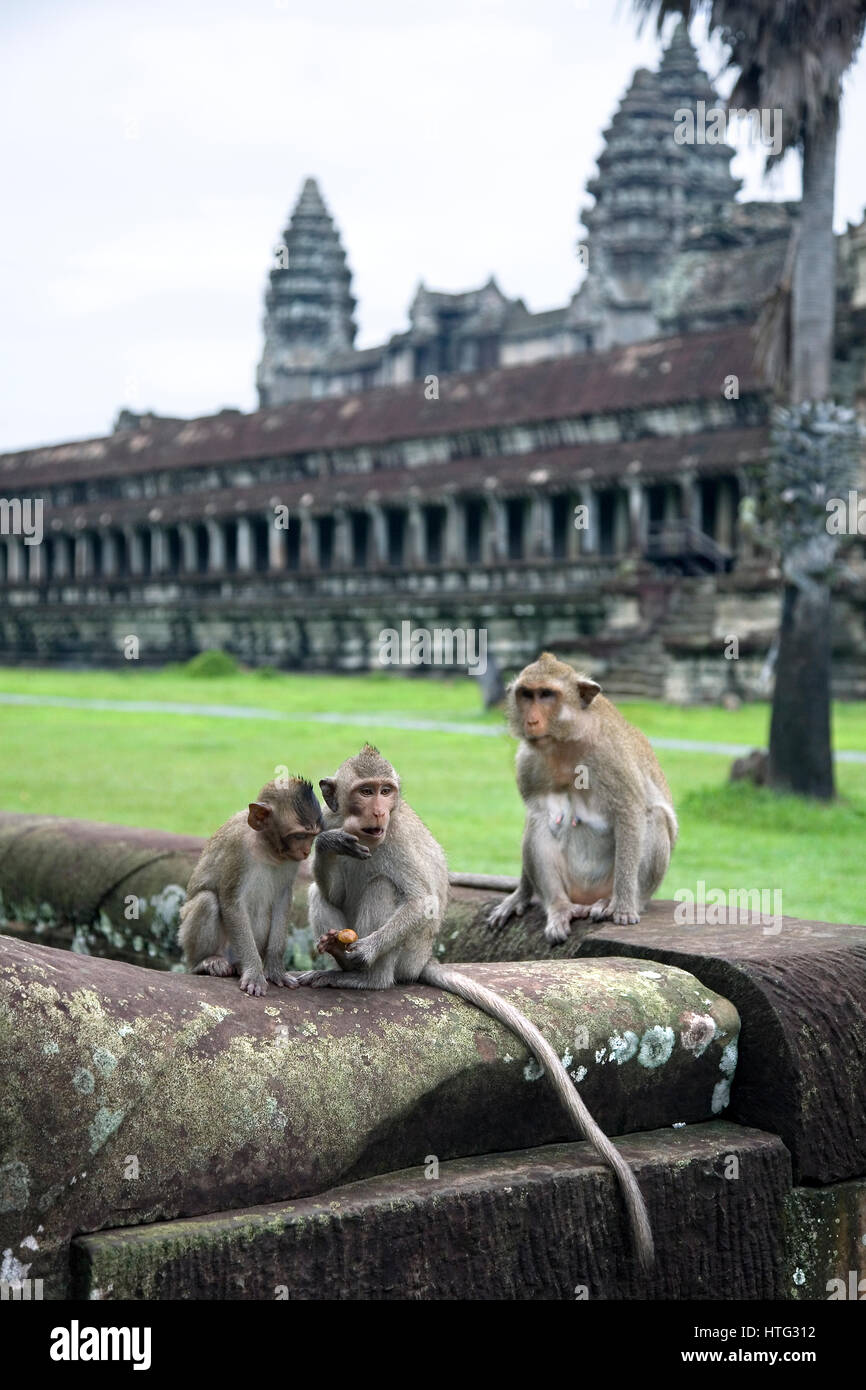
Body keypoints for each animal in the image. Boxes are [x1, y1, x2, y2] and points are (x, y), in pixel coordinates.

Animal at [178, 777, 370, 996]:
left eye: (312, 836)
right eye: (298, 836)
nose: (306, 851)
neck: (265, 846)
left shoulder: (290, 860)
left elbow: (282, 899)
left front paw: (276, 970)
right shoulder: (237, 849)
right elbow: (232, 903)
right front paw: (254, 973)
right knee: (207, 901)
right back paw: (206, 961)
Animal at [289, 745, 654, 1271]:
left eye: (386, 791)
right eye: (365, 791)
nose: (379, 813)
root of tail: (423, 961)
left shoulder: (397, 841)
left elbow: (419, 900)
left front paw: (361, 952)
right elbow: (329, 882)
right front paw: (329, 843)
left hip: (407, 952)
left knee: (386, 889)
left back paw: (363, 977)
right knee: (320, 892)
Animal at [487, 652, 677, 944]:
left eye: (546, 694)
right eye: (526, 695)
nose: (531, 721)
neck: (564, 741)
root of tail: (585, 898)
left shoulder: (610, 755)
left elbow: (629, 812)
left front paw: (623, 906)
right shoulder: (527, 761)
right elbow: (536, 812)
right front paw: (519, 895)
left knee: (653, 818)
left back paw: (611, 902)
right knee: (539, 820)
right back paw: (559, 907)